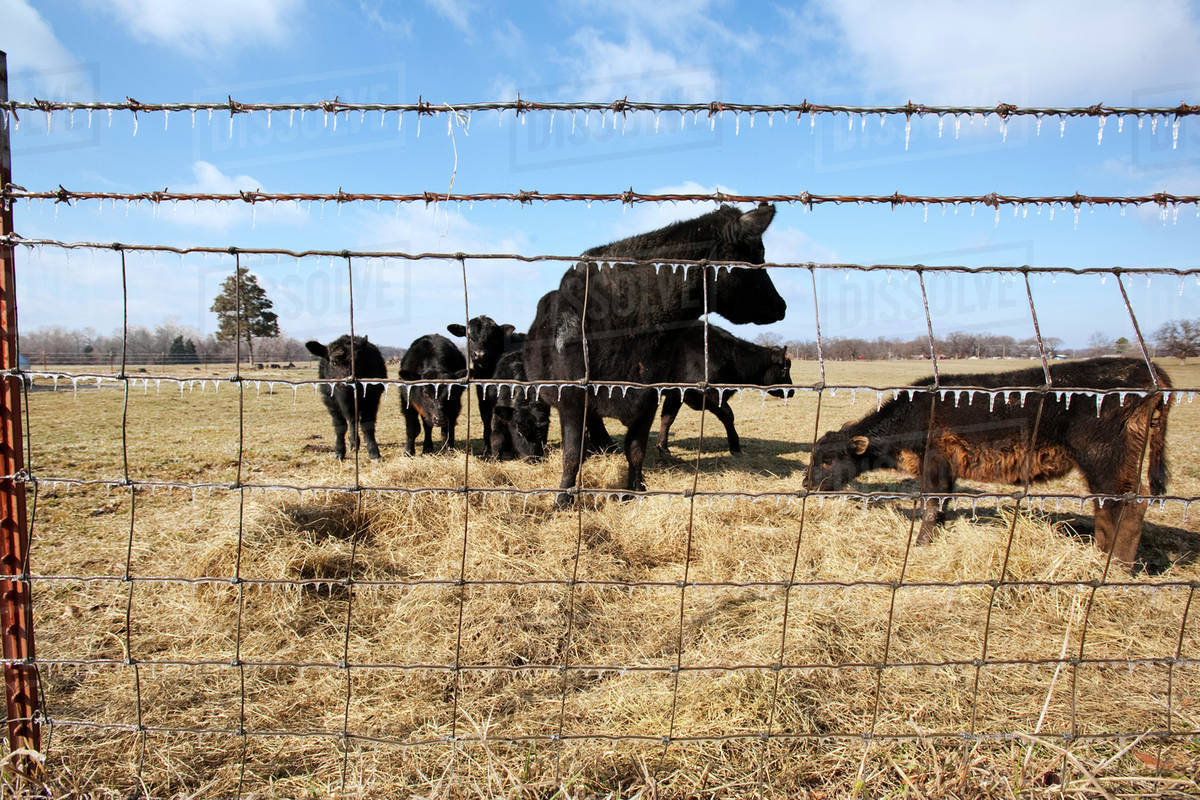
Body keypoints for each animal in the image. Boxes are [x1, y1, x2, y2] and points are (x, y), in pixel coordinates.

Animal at [446, 316, 526, 458]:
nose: (480, 354)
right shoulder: (482, 399)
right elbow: (486, 422)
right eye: (470, 337)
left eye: (492, 338)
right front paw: (487, 449)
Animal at [657, 324, 794, 455]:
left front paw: (663, 447)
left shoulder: (676, 394)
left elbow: (667, 418)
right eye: (784, 369)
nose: (792, 391)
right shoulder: (709, 394)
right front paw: (735, 447)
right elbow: (728, 415)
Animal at [803, 357, 1172, 565]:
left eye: (827, 460)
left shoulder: (934, 464)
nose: (806, 483)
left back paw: (1112, 563)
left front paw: (921, 543)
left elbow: (931, 505)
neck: (912, 415)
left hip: (1104, 459)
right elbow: (943, 506)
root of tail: (1151, 373)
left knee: (1125, 506)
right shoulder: (949, 471)